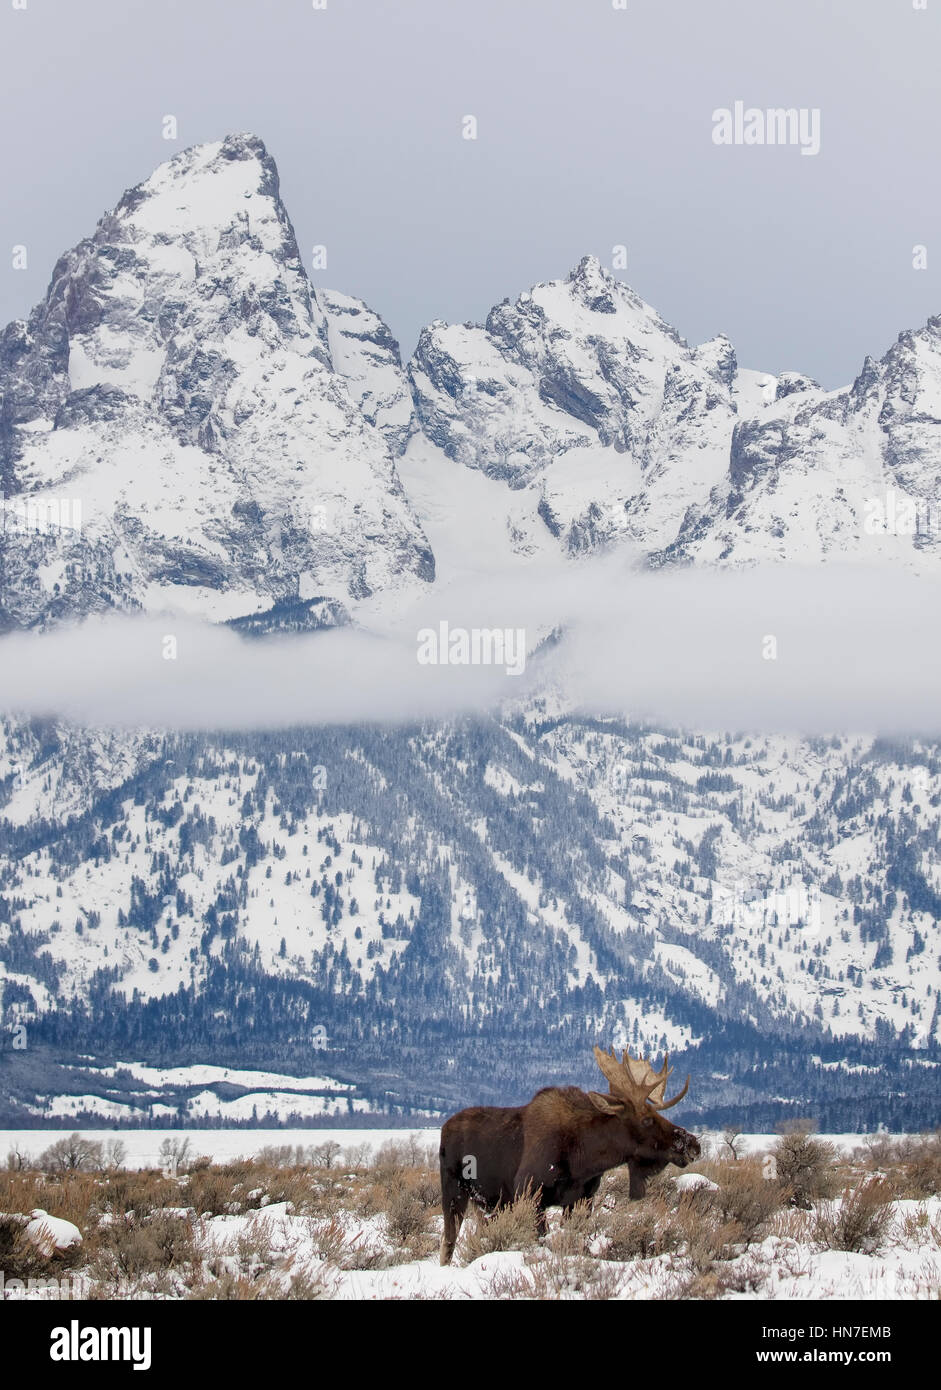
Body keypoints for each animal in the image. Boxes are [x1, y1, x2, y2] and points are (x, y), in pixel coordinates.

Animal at [438, 1045, 701, 1264]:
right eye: (647, 1119)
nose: (693, 1144)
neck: (583, 1160)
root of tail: (444, 1128)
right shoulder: (529, 1193)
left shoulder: (582, 1199)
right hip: (454, 1191)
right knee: (448, 1243)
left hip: (482, 1202)